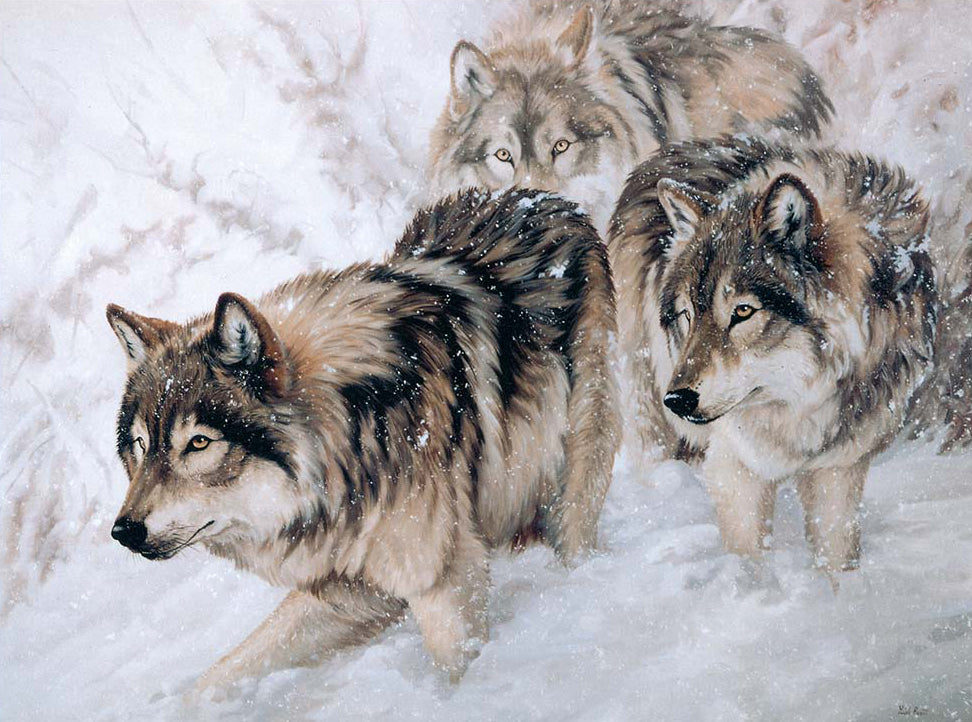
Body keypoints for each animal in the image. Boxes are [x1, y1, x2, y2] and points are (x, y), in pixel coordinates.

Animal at [106, 189, 619, 691]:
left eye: (198, 443)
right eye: (140, 445)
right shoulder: (350, 588)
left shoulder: (440, 577)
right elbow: (218, 677)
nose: (123, 531)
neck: (348, 446)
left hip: (571, 490)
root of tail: (546, 199)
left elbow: (456, 671)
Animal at [609, 136, 938, 571]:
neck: (799, 402)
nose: (677, 399)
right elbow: (750, 558)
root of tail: (670, 152)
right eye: (687, 315)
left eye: (742, 312)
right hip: (649, 405)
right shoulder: (737, 468)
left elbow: (836, 555)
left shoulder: (839, 469)